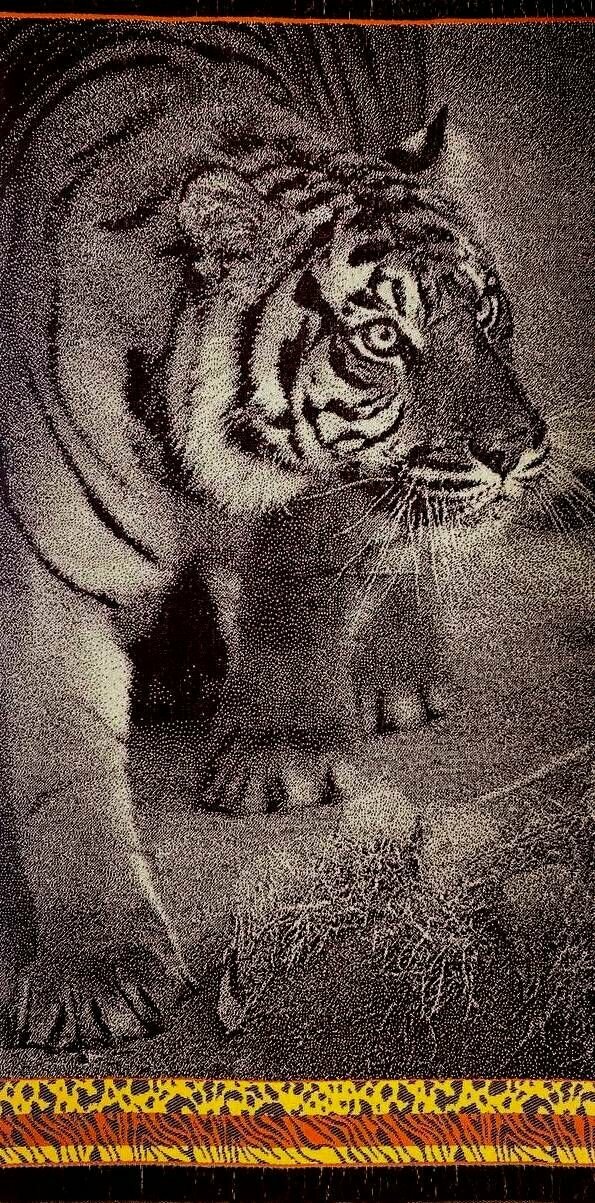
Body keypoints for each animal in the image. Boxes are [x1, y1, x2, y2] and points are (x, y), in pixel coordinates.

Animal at [0, 22, 548, 1052]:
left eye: (488, 310)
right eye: (381, 336)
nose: (516, 449)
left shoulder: (338, 484)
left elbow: (298, 597)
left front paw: (278, 754)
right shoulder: (40, 578)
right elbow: (61, 775)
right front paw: (94, 971)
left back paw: (395, 676)